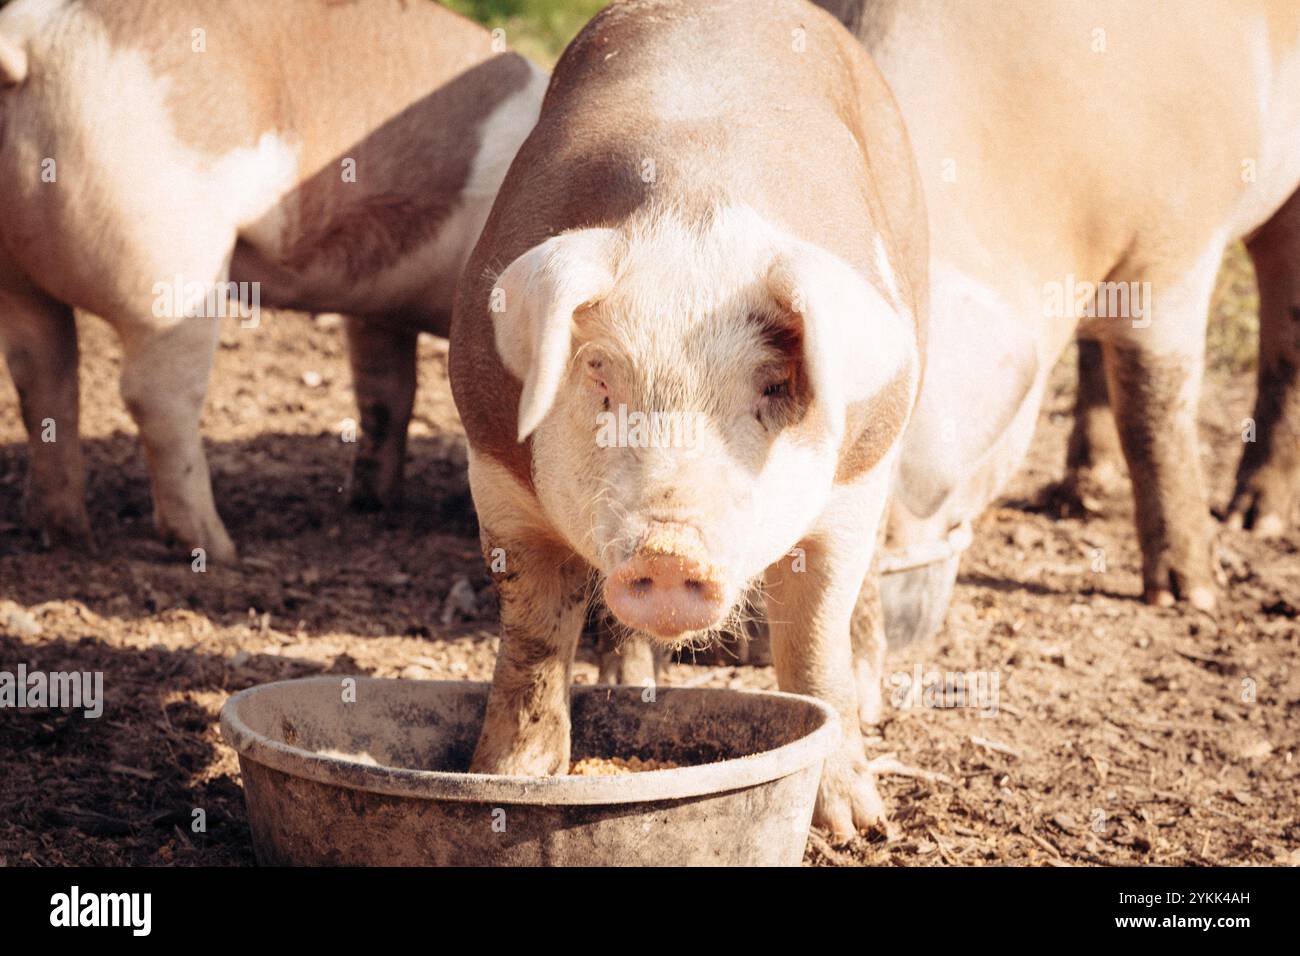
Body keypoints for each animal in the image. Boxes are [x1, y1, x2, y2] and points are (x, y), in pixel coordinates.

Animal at [0, 0, 548, 561]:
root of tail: (32, 39)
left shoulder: (381, 308)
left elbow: (386, 392)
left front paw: (372, 503)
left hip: (18, 278)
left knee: (41, 379)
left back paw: (63, 533)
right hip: (167, 266)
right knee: (154, 397)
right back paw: (216, 548)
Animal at [450, 0, 927, 839]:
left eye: (770, 386)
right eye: (599, 376)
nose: (669, 549)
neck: (691, 221)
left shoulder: (853, 484)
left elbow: (815, 646)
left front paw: (854, 826)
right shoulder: (494, 465)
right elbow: (532, 639)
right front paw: (504, 782)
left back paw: (873, 701)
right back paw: (628, 676)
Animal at [817, 0, 1300, 644]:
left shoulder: (1178, 243)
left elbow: (1155, 407)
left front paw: (1190, 596)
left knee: (1284, 318)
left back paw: (1253, 522)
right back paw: (1083, 492)